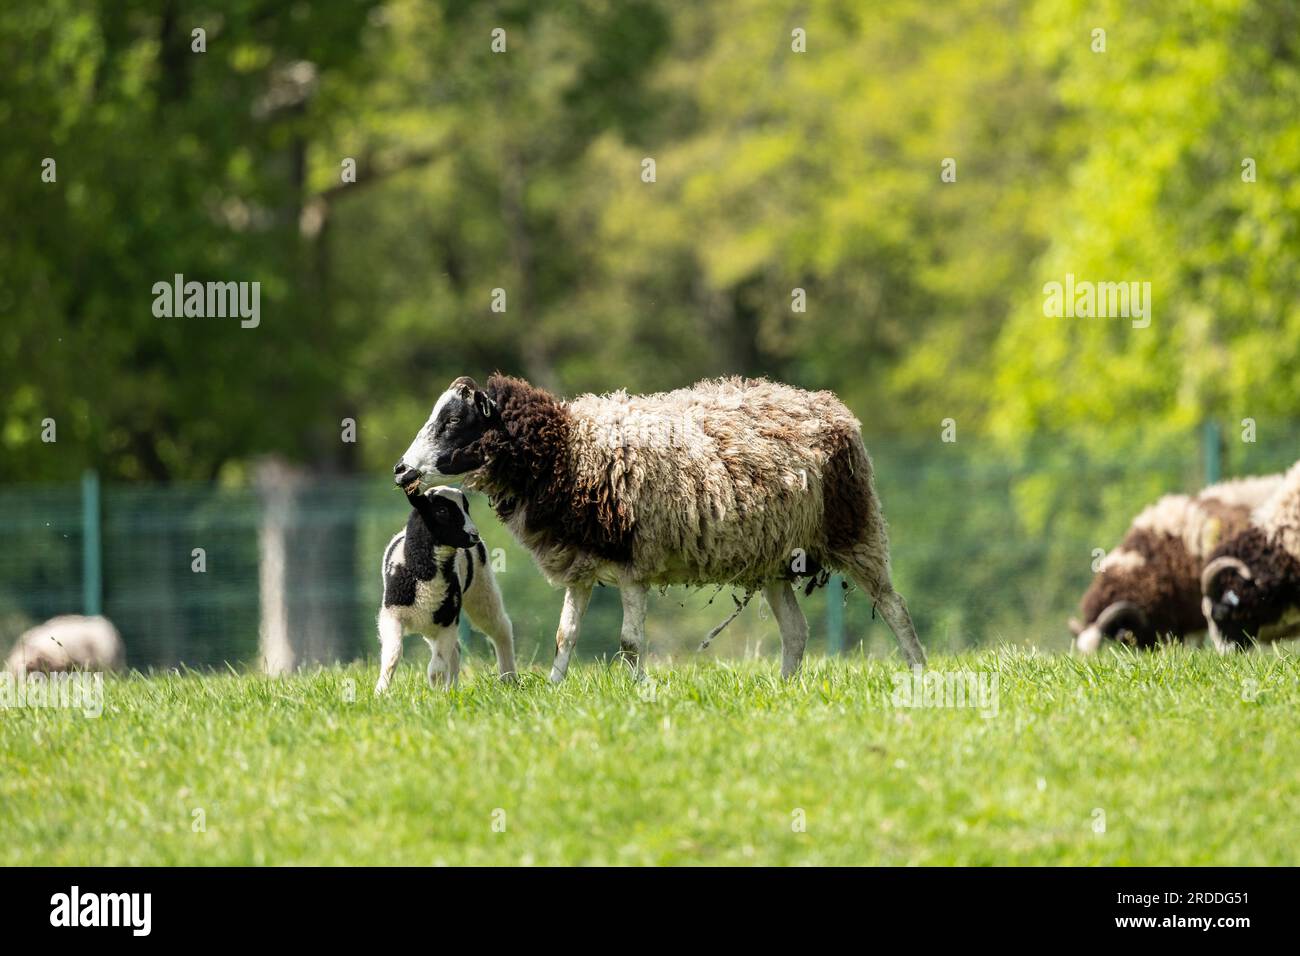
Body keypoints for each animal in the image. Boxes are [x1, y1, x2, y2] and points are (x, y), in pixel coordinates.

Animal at [374, 482, 516, 692]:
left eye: (466, 508)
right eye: (442, 511)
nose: (474, 535)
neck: (424, 574)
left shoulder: (449, 620)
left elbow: (437, 667)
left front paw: (436, 693)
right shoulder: (392, 615)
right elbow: (392, 656)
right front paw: (381, 692)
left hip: (481, 589)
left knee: (500, 628)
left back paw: (509, 678)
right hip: (430, 622)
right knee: (456, 650)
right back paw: (452, 688)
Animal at [393, 374, 925, 680]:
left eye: (453, 420)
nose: (401, 471)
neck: (570, 450)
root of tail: (830, 406)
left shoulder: (633, 566)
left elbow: (630, 641)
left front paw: (638, 691)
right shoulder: (581, 567)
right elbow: (567, 635)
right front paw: (553, 690)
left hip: (855, 529)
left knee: (893, 606)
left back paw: (918, 672)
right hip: (775, 557)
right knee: (796, 632)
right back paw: (784, 687)